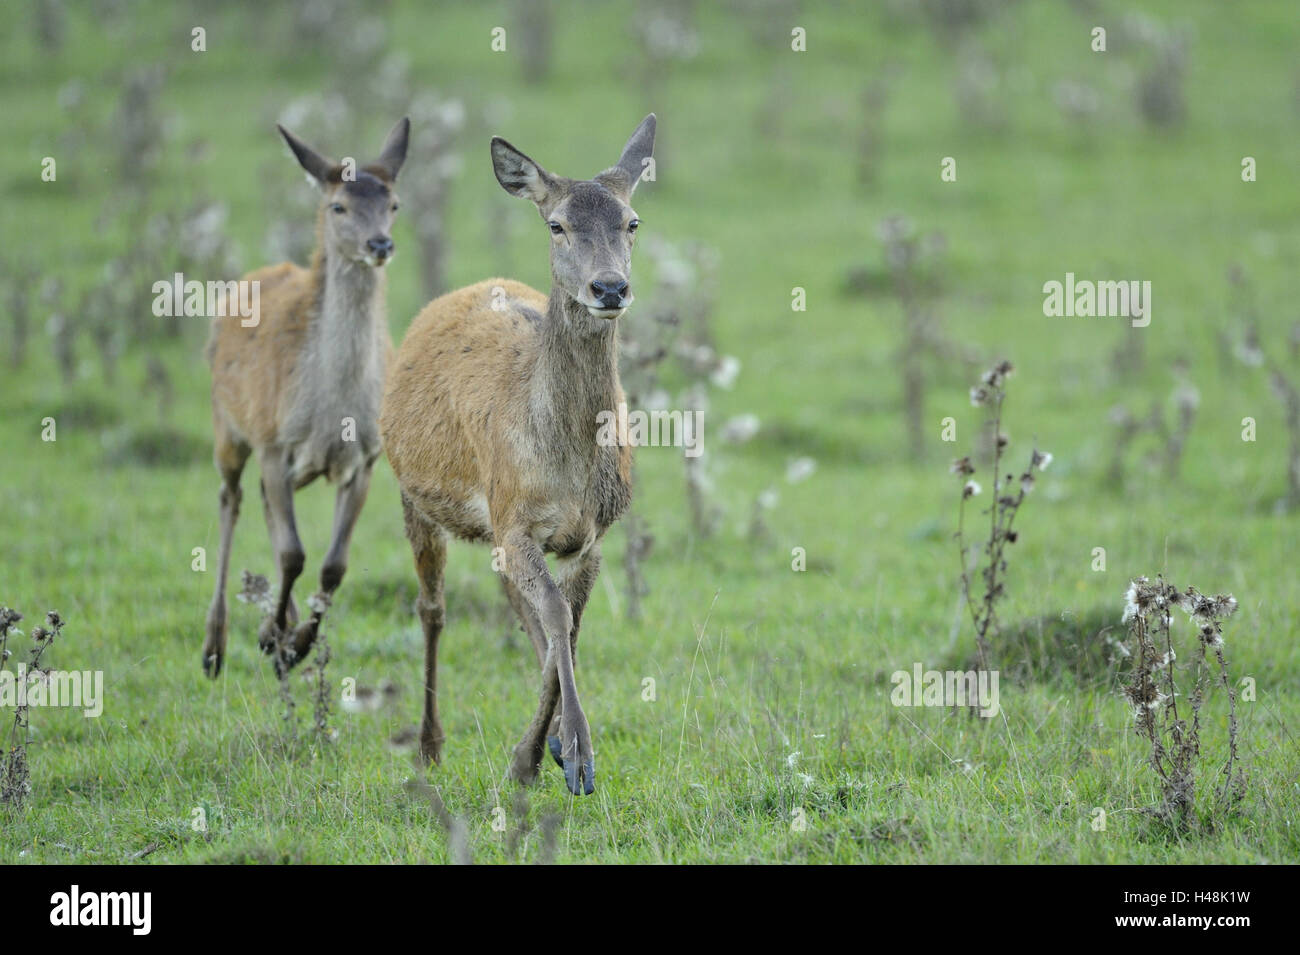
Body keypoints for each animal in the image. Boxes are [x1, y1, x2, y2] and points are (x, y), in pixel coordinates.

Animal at [202, 117, 409, 679]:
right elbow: (294, 553)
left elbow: (333, 564)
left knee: (264, 506)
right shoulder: (274, 441)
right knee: (231, 498)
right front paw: (279, 643)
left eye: (394, 203)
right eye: (338, 206)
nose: (380, 243)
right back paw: (214, 647)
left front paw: (293, 641)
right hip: (228, 425)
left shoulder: (366, 458)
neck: (329, 413)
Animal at [380, 115, 656, 796]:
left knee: (515, 604)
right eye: (556, 224)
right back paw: (428, 745)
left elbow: (567, 627)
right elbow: (556, 618)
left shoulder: (590, 534)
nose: (610, 287)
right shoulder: (514, 517)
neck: (565, 464)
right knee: (433, 608)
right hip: (413, 492)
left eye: (632, 222)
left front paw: (553, 749)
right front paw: (565, 758)